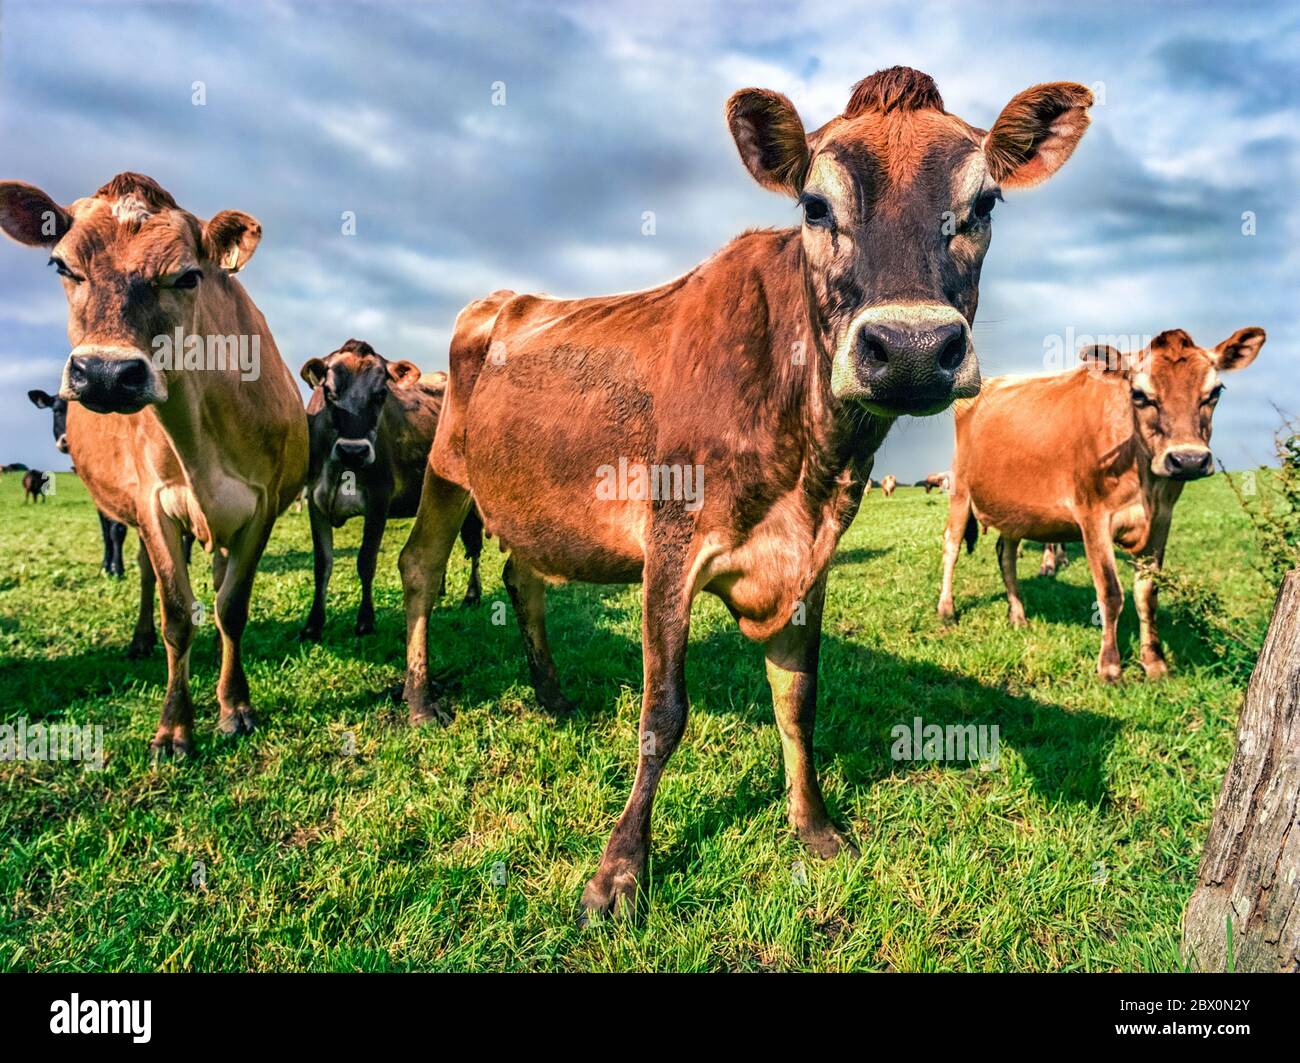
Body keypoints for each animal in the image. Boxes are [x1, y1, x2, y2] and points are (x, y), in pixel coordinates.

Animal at [0, 172, 308, 757]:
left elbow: (231, 606)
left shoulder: (261, 507)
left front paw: (235, 706)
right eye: (62, 266)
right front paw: (174, 727)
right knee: (148, 577)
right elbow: (177, 615)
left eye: (187, 276)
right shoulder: (153, 504)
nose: (104, 373)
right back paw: (140, 637)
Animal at [298, 340, 482, 641]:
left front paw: (365, 621)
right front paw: (313, 625)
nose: (353, 451)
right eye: (328, 392)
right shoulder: (315, 502)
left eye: (381, 394)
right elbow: (322, 564)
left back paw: (472, 595)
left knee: (474, 547)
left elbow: (366, 561)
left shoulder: (379, 499)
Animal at [399, 66, 1092, 920]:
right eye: (815, 206)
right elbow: (663, 712)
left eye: (985, 204)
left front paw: (814, 824)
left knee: (522, 577)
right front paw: (619, 869)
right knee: (422, 567)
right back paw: (421, 700)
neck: (807, 470)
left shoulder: (809, 557)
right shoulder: (670, 544)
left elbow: (798, 697)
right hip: (445, 470)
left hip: (531, 495)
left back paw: (552, 693)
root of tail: (501, 298)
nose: (911, 348)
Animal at [938, 327, 1265, 681]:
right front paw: (1110, 666)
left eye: (1215, 391)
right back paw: (947, 611)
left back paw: (1018, 616)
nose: (1188, 459)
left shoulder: (1162, 521)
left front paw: (1155, 662)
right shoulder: (1094, 516)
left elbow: (1147, 594)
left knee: (1005, 554)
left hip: (1014, 509)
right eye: (1139, 395)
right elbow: (1110, 593)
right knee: (952, 546)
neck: (1145, 481)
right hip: (960, 489)